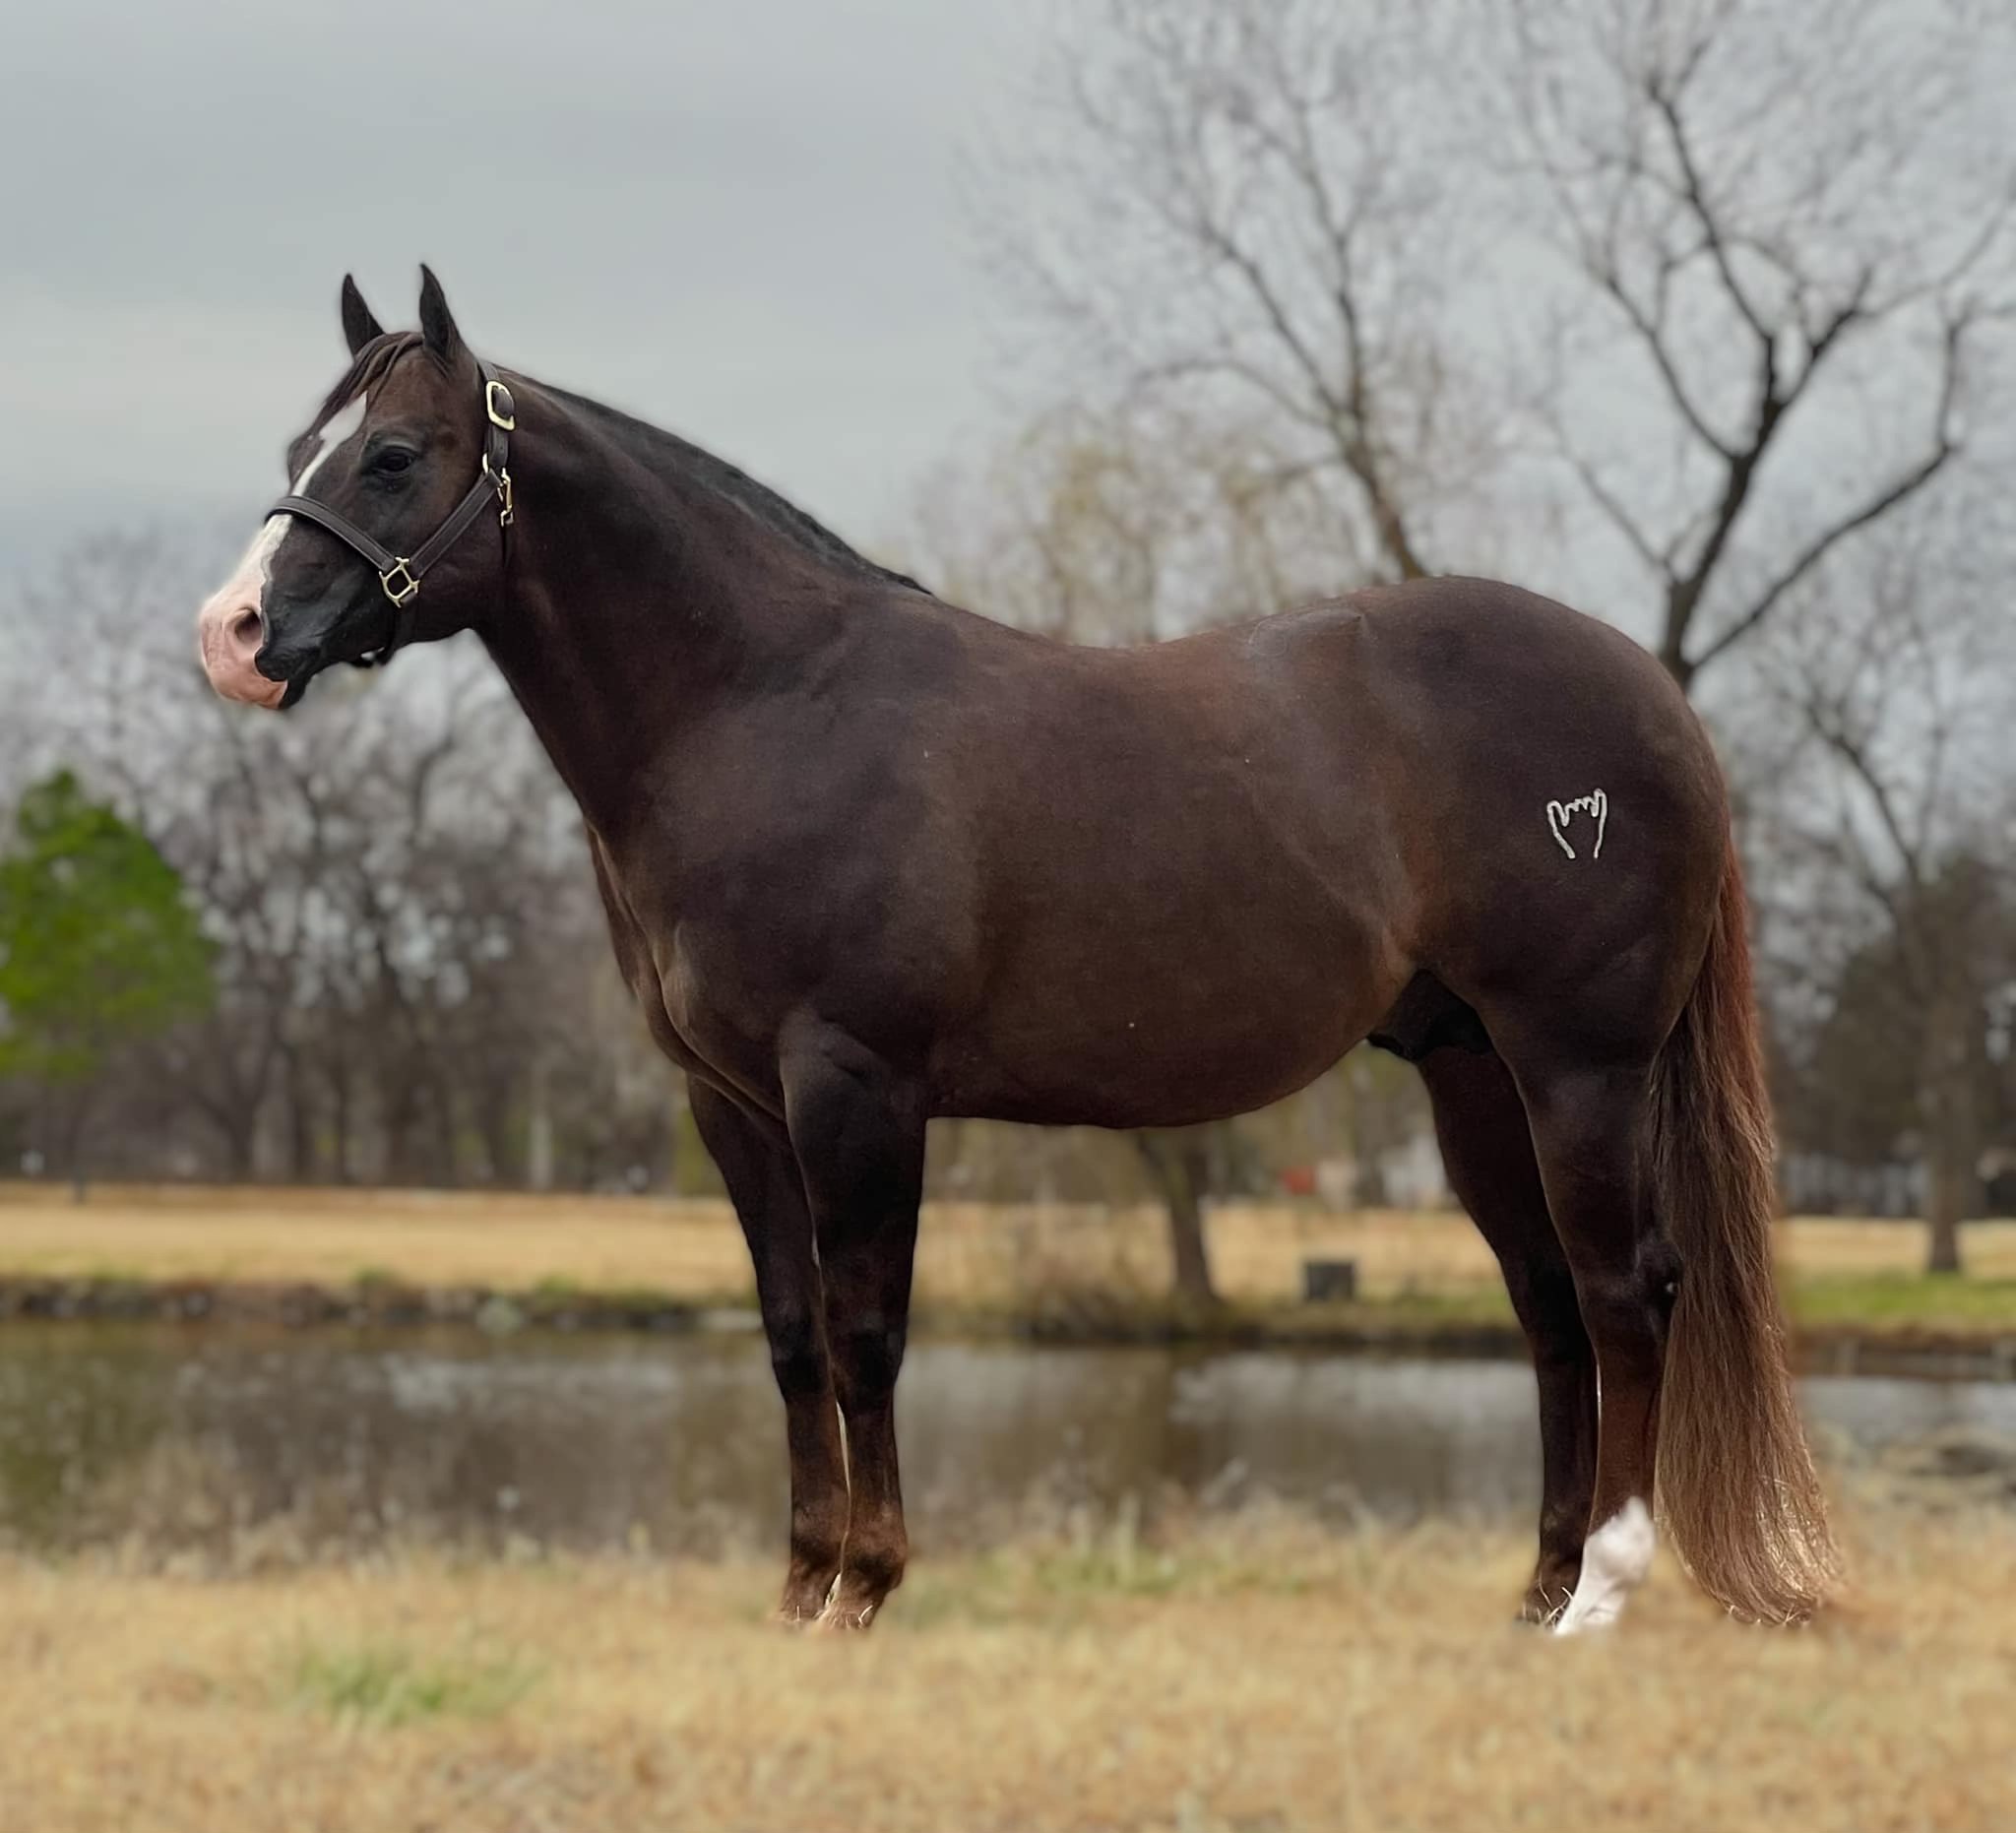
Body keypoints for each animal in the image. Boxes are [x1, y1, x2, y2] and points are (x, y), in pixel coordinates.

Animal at [197, 271, 1838, 1634]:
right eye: (299, 445)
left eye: (393, 455)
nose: (233, 634)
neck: (764, 707)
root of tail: (1655, 694)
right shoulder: (728, 1106)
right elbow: (790, 1335)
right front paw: (798, 1587)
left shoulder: (853, 1083)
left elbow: (865, 1330)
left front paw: (867, 1586)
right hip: (1473, 1073)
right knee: (1552, 1311)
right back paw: (1538, 1591)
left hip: (1580, 1068)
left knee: (1628, 1293)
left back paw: (1603, 1596)